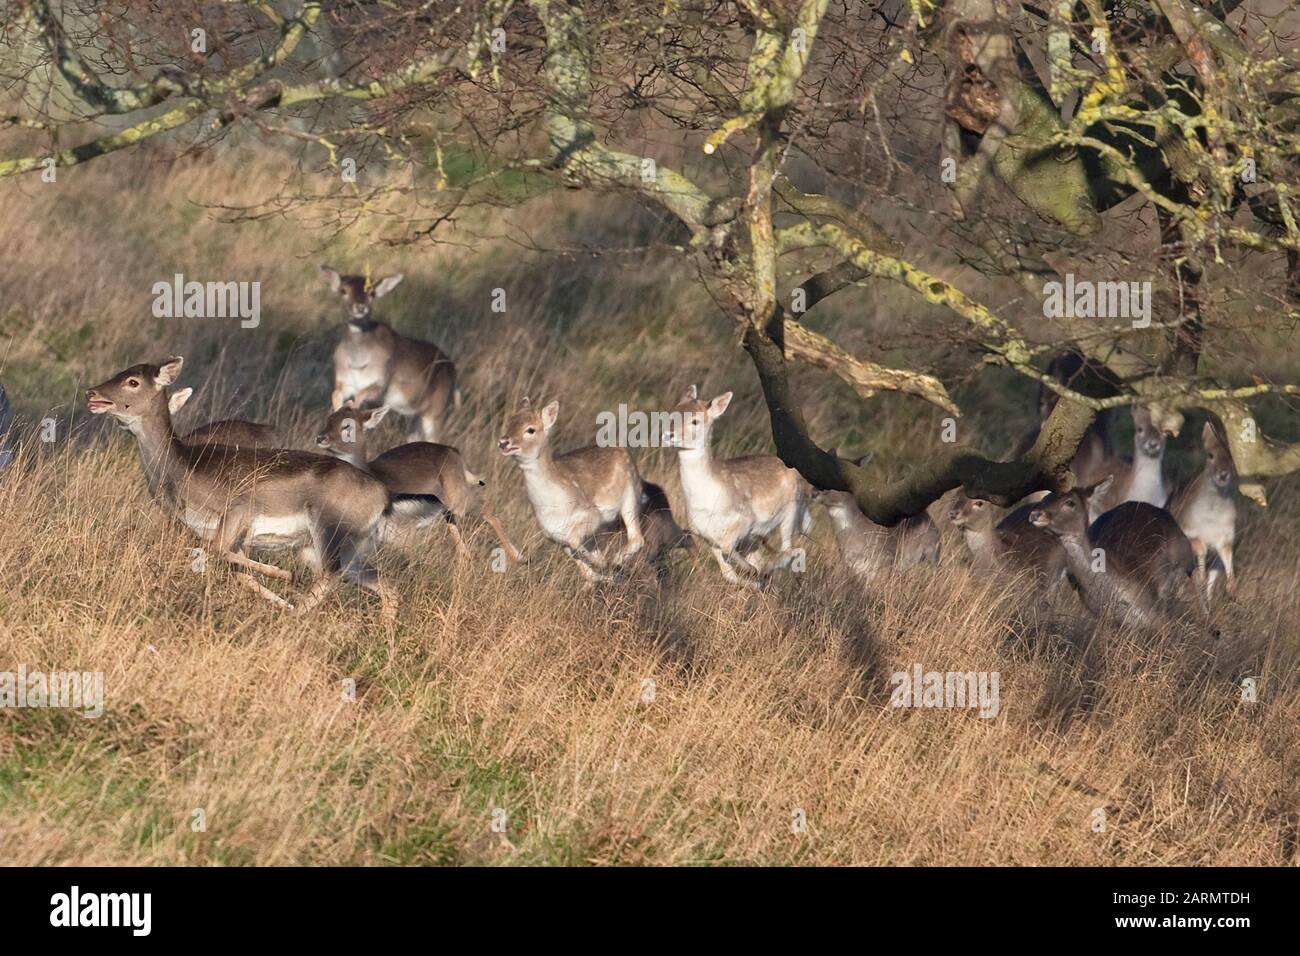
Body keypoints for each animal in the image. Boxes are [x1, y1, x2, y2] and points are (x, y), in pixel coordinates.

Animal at [86, 357, 397, 619]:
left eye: (133, 382)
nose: (92, 393)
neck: (184, 470)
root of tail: (383, 499)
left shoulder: (238, 509)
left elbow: (217, 552)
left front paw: (284, 578)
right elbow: (237, 570)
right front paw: (280, 596)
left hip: (331, 526)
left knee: (332, 573)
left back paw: (296, 612)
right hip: (347, 544)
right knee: (382, 582)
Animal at [315, 402, 520, 563]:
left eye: (347, 426)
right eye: (328, 418)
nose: (320, 437)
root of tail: (456, 453)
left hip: (457, 495)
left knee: (484, 506)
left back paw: (518, 556)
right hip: (447, 502)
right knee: (455, 523)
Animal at [321, 266, 458, 443]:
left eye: (371, 293)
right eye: (343, 290)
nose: (360, 307)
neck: (358, 362)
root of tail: (453, 369)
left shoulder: (380, 382)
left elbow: (362, 394)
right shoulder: (344, 382)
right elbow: (335, 393)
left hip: (436, 410)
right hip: (416, 417)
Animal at [663, 386, 812, 589]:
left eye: (695, 420)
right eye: (672, 413)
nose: (667, 435)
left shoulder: (746, 521)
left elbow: (729, 550)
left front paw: (752, 571)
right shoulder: (706, 536)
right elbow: (727, 574)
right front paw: (754, 579)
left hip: (791, 510)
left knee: (789, 550)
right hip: (756, 538)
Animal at [1169, 421, 1238, 598]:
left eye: (1232, 458)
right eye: (1211, 455)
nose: (1223, 475)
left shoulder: (1226, 538)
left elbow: (1227, 562)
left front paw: (1231, 587)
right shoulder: (1187, 531)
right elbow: (1199, 548)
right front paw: (1199, 576)